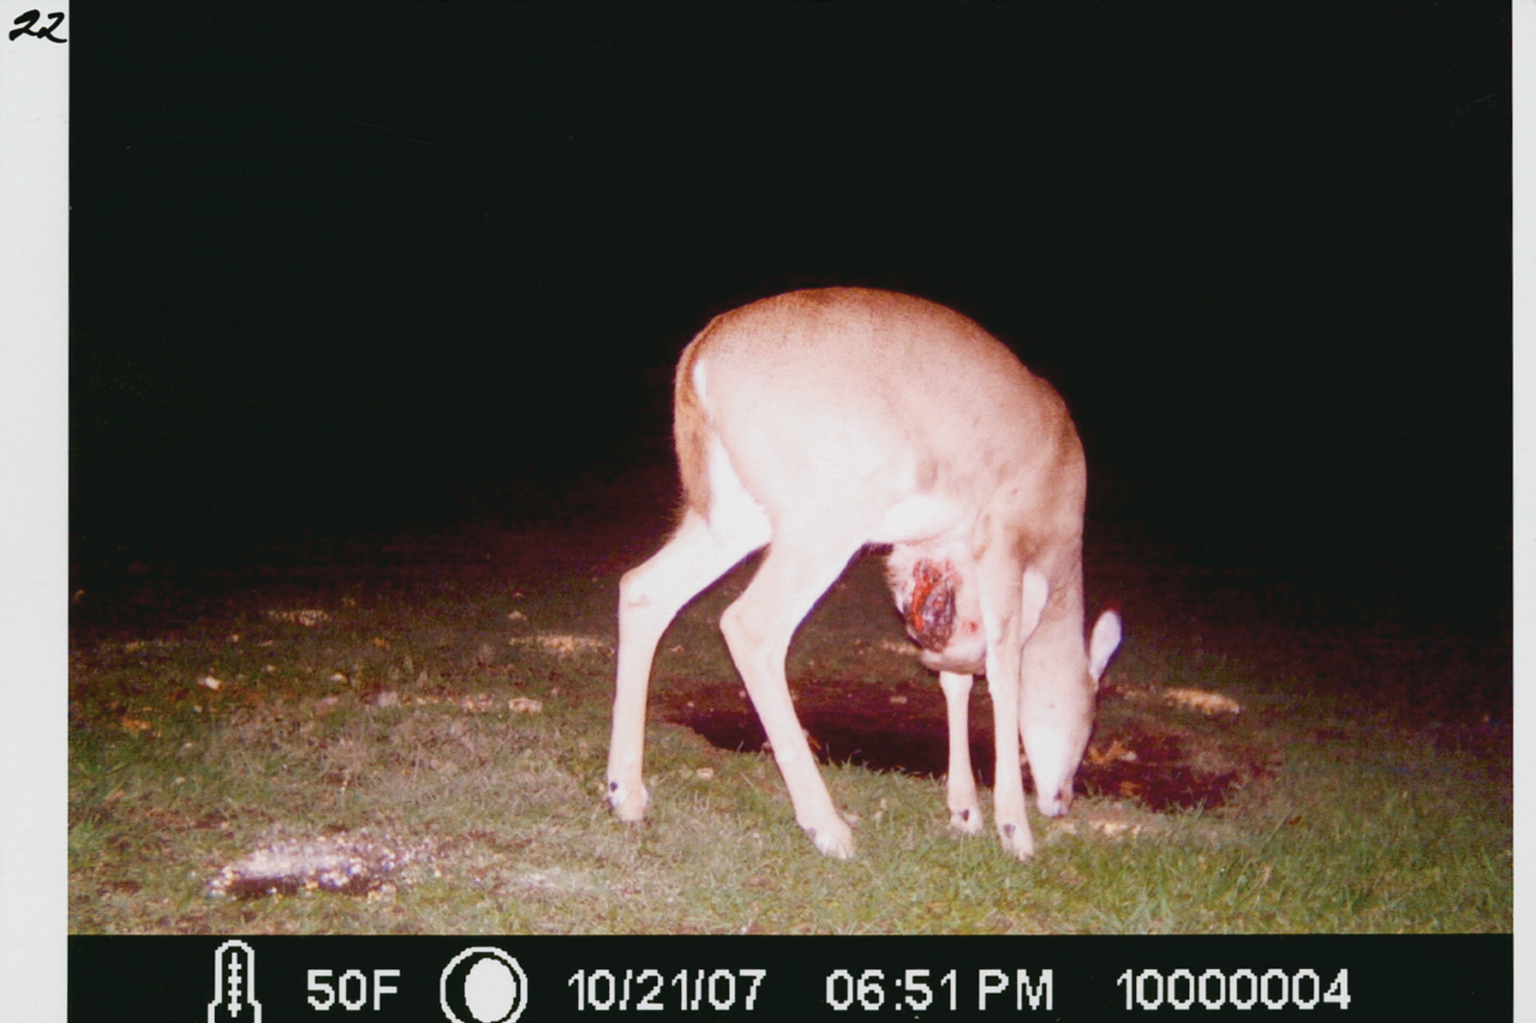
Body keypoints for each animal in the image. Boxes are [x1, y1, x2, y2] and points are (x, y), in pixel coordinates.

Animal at [605, 288, 1121, 861]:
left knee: (644, 587)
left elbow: (956, 677)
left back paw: (626, 794)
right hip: (830, 509)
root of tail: (699, 358)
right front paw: (1015, 832)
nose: (1063, 800)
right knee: (751, 624)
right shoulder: (1005, 538)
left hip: (736, 510)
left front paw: (965, 812)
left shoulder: (940, 567)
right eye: (1090, 721)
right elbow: (1003, 669)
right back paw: (827, 827)